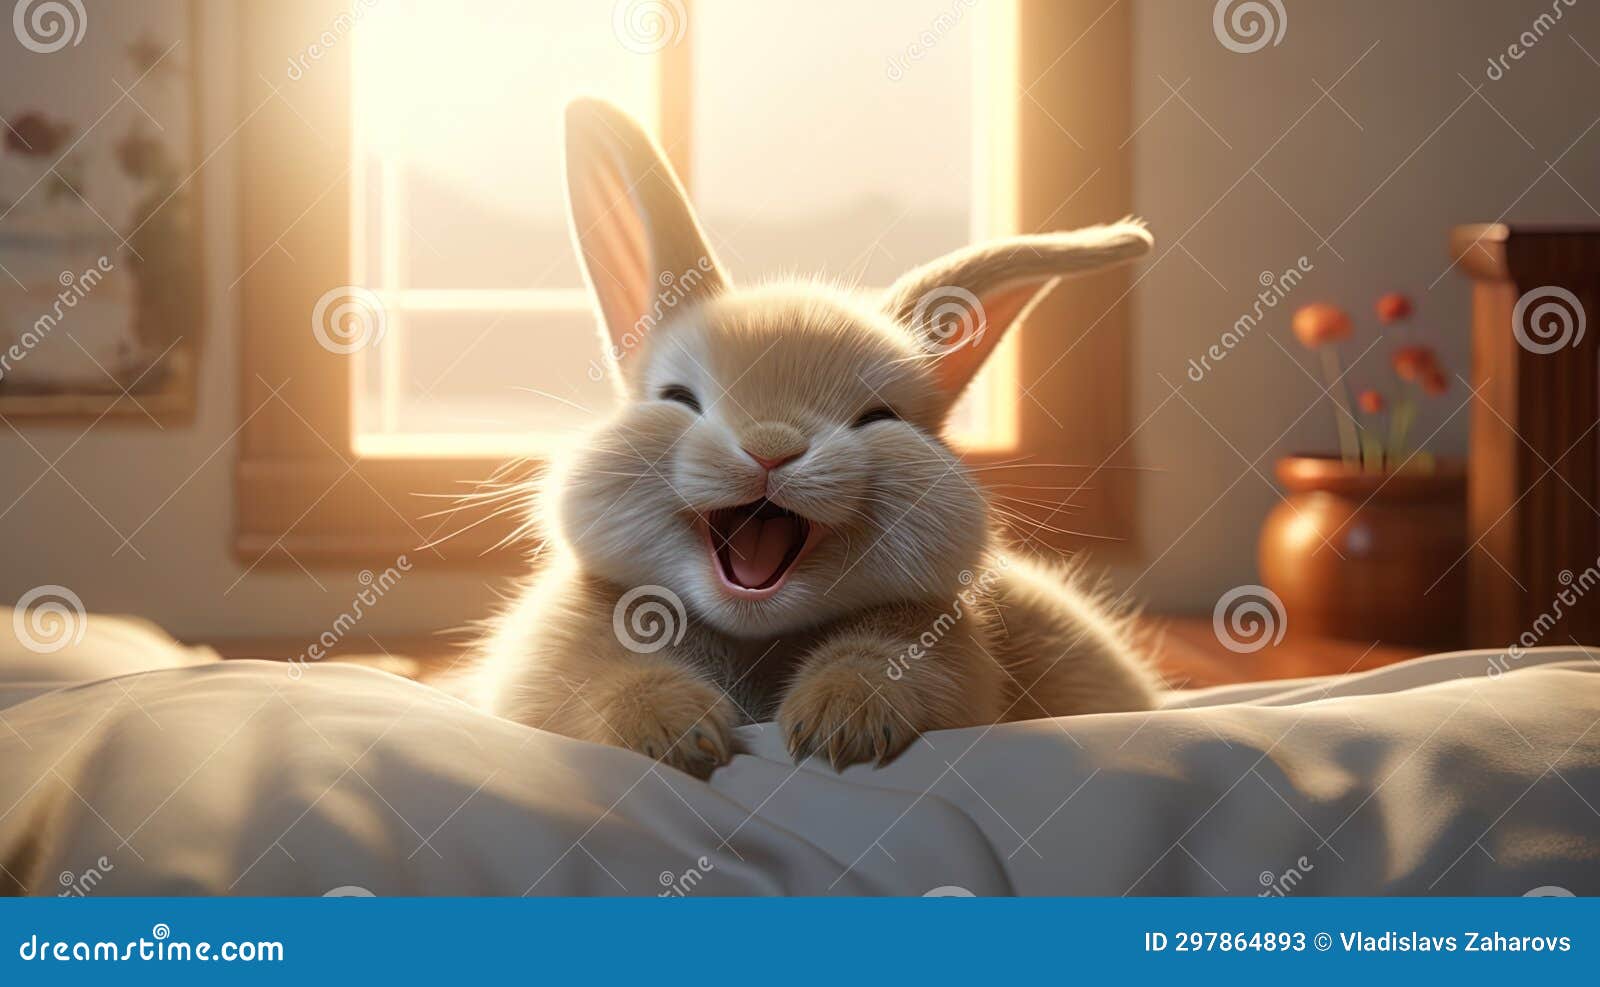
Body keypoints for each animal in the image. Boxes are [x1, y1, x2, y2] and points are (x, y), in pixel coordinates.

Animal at [467, 98, 1160, 778]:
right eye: (679, 399)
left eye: (877, 417)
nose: (770, 447)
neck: (755, 632)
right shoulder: (563, 662)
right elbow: (610, 686)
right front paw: (681, 737)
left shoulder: (936, 651)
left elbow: (881, 663)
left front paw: (837, 727)